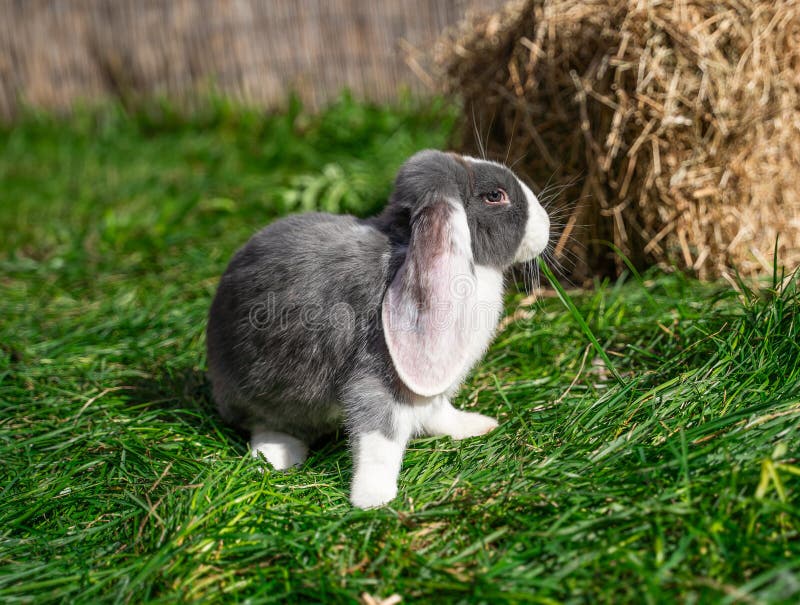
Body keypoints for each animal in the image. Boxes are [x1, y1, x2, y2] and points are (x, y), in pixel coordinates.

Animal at [206, 149, 549, 508]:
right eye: (495, 196)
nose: (546, 225)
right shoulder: (377, 373)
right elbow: (380, 437)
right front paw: (373, 498)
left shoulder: (428, 388)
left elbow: (437, 412)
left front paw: (475, 426)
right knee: (267, 424)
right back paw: (277, 458)